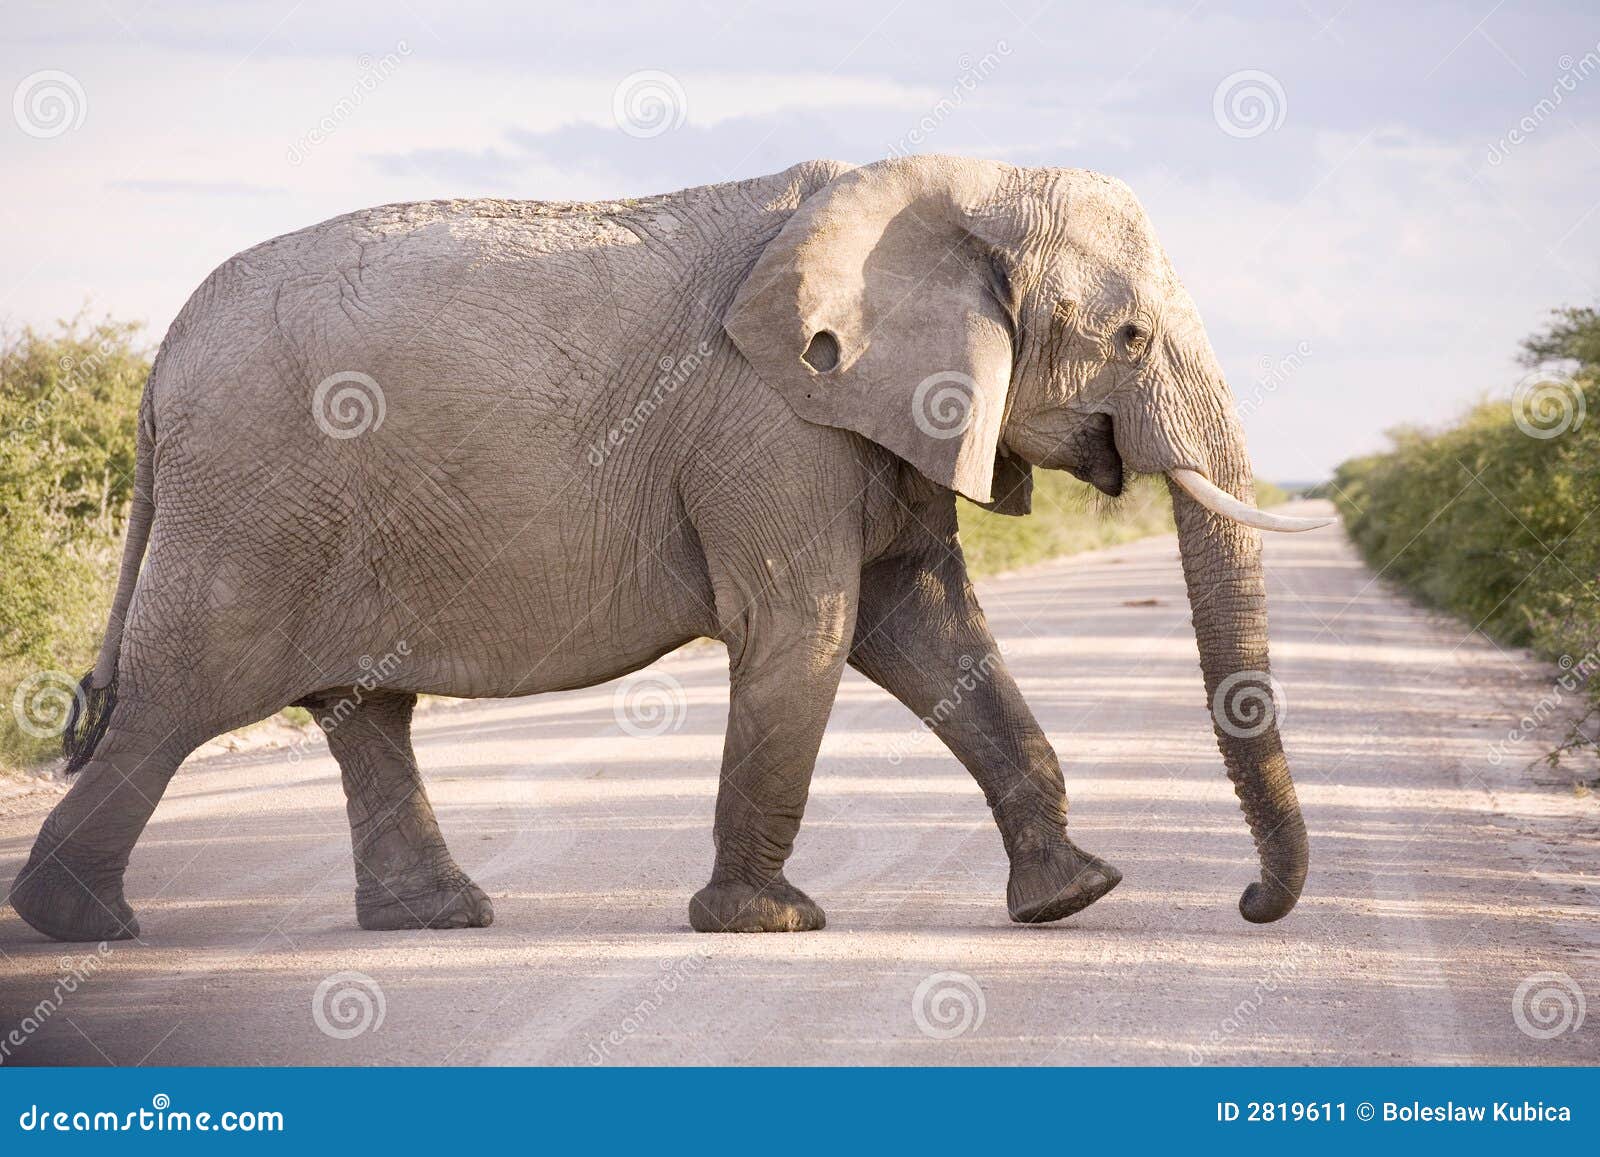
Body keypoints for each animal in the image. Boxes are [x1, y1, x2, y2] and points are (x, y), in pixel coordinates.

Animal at [8, 154, 1326, 944]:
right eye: (1130, 334)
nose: (1250, 902)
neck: (942, 188)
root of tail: (161, 359)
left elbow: (926, 627)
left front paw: (1072, 895)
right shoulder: (772, 419)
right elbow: (808, 626)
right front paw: (769, 923)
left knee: (361, 709)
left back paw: (439, 917)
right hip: (253, 500)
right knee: (182, 700)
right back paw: (82, 926)